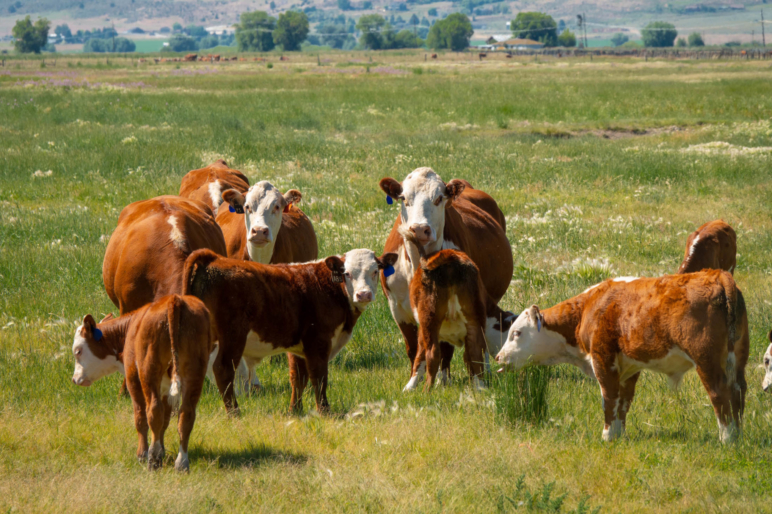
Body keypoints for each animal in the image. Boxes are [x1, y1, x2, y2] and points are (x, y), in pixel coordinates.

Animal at [72, 295, 212, 471]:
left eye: (78, 351)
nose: (75, 379)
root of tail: (175, 299)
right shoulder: (165, 387)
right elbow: (165, 420)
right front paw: (161, 450)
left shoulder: (132, 378)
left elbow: (140, 417)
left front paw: (143, 454)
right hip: (195, 372)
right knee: (186, 415)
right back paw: (181, 462)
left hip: (148, 370)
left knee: (153, 411)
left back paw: (153, 460)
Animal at [182, 247, 398, 415]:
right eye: (347, 273)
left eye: (375, 271)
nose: (363, 294)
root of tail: (214, 258)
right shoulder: (318, 342)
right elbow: (319, 377)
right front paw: (325, 411)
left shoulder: (299, 347)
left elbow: (298, 378)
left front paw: (295, 410)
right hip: (232, 337)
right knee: (223, 369)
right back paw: (234, 412)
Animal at [399, 226, 488, 391]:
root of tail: (451, 259)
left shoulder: (422, 331)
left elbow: (419, 358)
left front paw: (409, 387)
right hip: (475, 319)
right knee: (475, 354)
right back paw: (480, 388)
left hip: (429, 318)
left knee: (432, 354)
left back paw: (426, 390)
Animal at [495, 270, 749, 444]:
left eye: (516, 333)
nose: (498, 357)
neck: (587, 309)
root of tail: (718, 275)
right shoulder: (629, 366)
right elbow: (623, 401)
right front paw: (618, 434)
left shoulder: (602, 358)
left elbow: (608, 398)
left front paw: (607, 435)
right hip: (737, 359)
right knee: (738, 392)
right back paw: (738, 435)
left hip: (706, 360)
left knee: (719, 394)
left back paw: (727, 438)